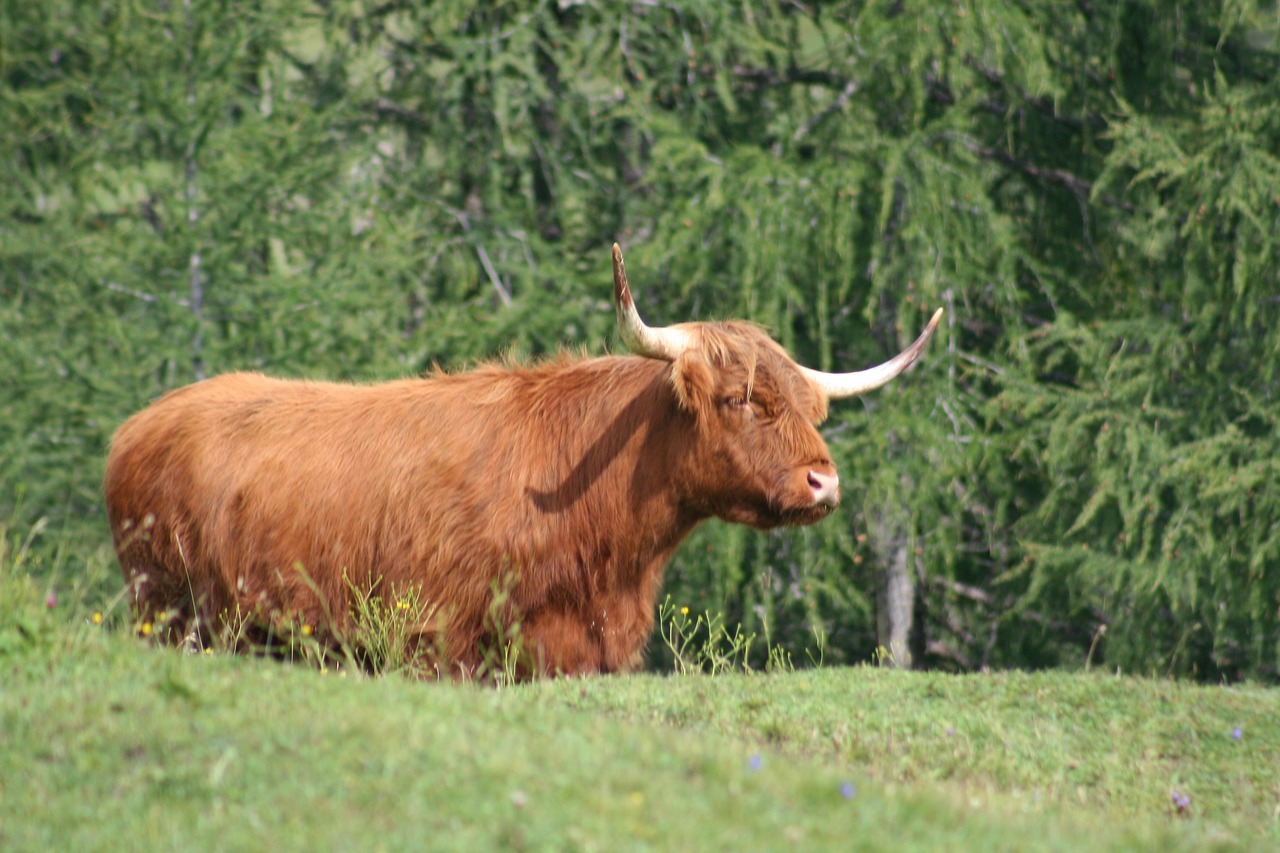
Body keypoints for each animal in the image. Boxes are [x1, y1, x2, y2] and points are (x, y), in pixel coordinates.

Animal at [104, 244, 942, 677]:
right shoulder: (434, 642)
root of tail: (142, 423)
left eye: (809, 407)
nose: (823, 480)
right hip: (168, 608)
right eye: (740, 398)